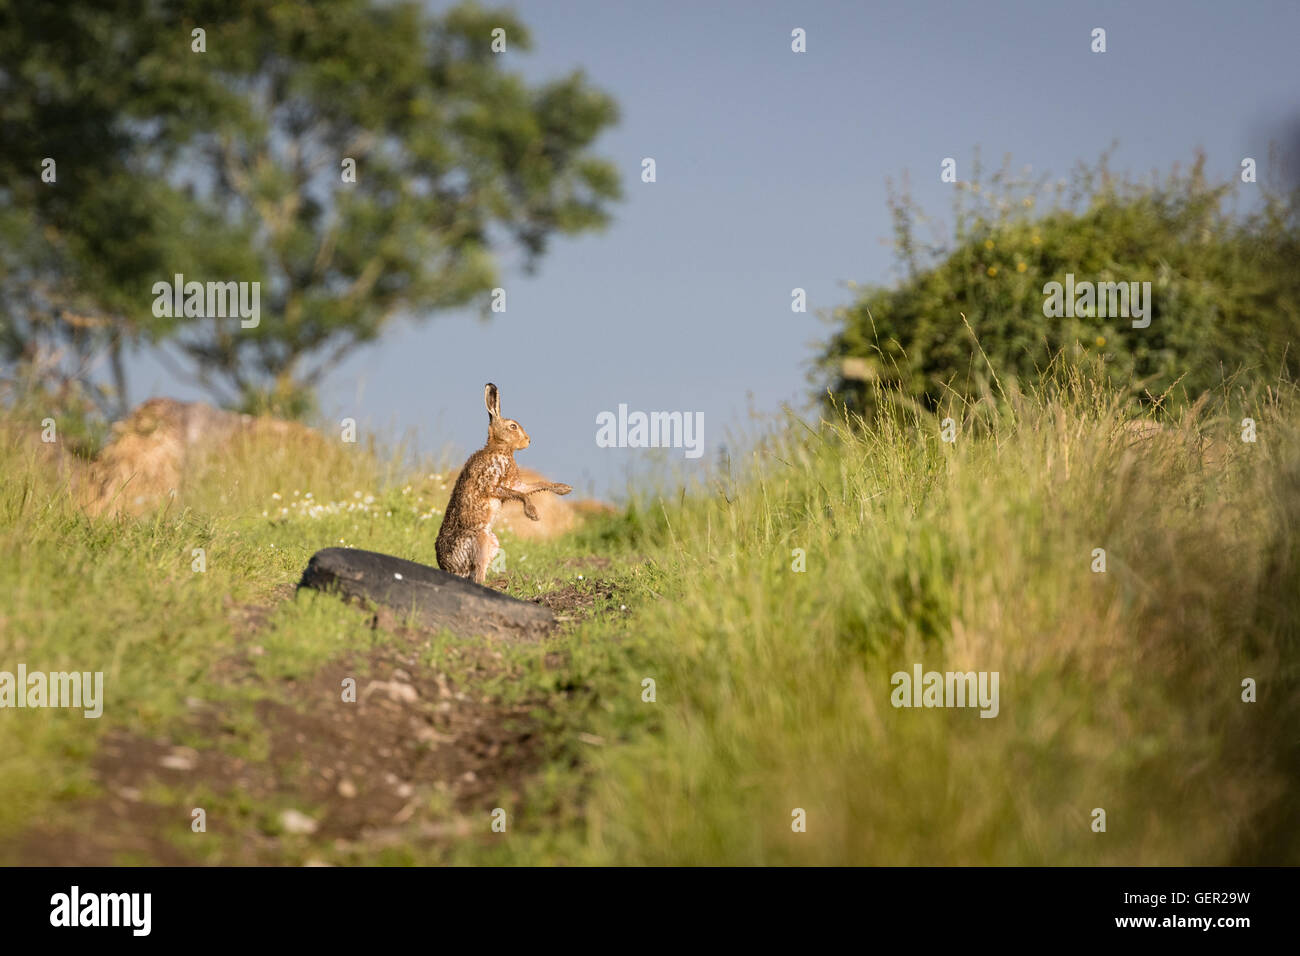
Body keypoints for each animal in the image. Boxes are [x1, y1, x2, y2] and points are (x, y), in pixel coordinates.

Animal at [436, 383, 573, 585]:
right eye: (513, 426)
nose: (528, 441)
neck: (501, 447)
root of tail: (448, 568)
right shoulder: (491, 484)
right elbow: (521, 495)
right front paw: (533, 514)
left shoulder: (515, 484)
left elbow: (533, 486)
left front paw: (563, 488)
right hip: (480, 541)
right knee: (478, 575)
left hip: (492, 542)